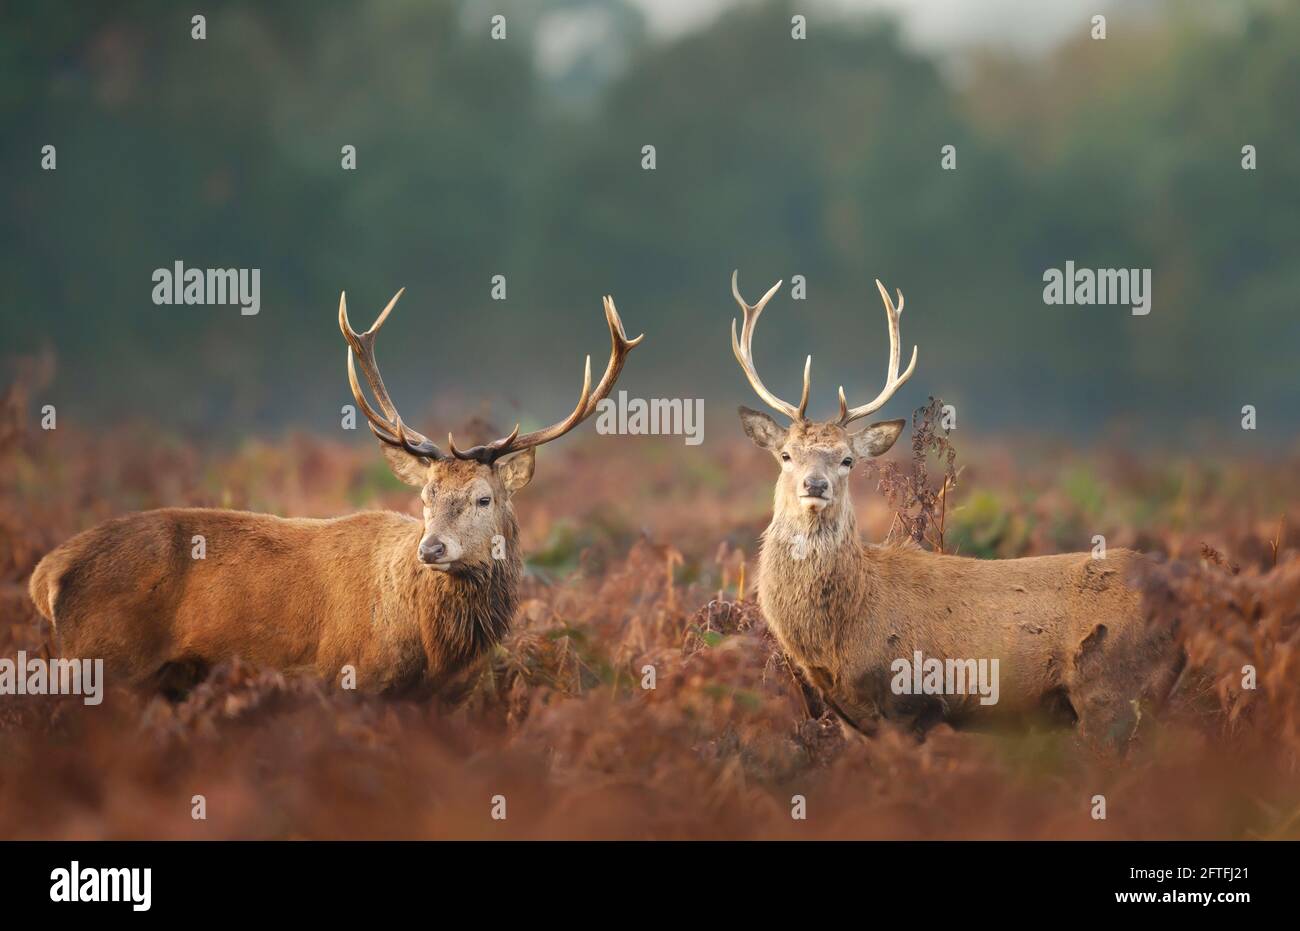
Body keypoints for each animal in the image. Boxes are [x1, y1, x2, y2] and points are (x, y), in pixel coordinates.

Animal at [28, 288, 643, 698]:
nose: (432, 549)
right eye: (425, 497)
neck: (430, 647)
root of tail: (46, 573)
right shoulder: (348, 678)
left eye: (483, 499)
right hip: (105, 660)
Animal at [728, 271, 1184, 748]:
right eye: (785, 454)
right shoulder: (851, 720)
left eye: (847, 459)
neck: (841, 637)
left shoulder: (909, 702)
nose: (815, 485)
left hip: (1112, 692)